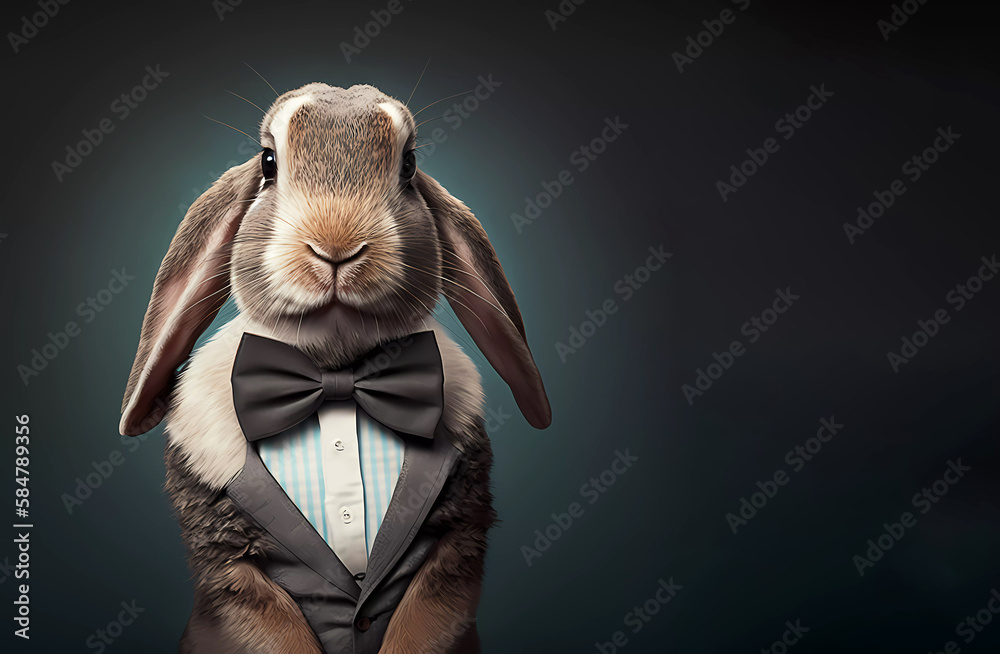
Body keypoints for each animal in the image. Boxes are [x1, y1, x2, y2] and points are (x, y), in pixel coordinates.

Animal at [118, 83, 551, 654]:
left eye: (409, 164)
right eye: (269, 162)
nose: (336, 244)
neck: (336, 373)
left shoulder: (455, 539)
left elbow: (422, 618)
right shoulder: (230, 564)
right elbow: (274, 625)